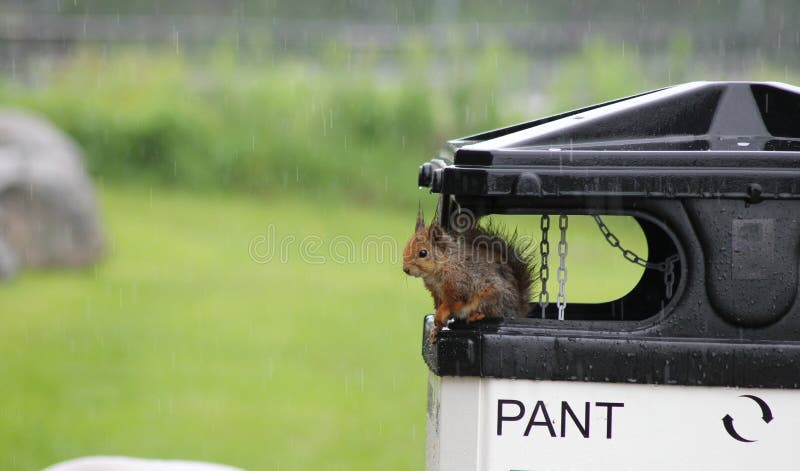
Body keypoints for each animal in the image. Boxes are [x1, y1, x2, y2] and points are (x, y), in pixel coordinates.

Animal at [402, 208, 535, 343]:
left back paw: (477, 315)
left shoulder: (460, 284)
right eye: (405, 248)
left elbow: (452, 302)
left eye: (423, 253)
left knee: (494, 312)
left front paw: (440, 314)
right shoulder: (435, 292)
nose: (405, 269)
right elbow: (440, 308)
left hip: (490, 295)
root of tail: (517, 310)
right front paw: (436, 329)